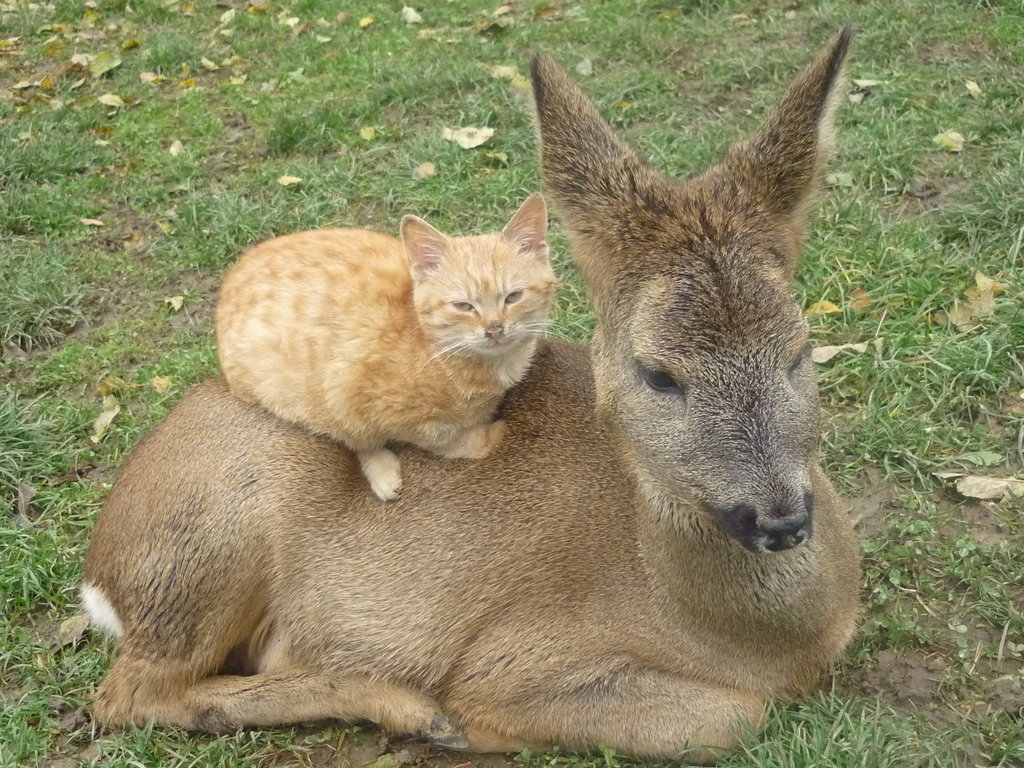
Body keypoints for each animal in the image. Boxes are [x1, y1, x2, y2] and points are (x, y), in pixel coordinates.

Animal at [81, 29, 861, 763]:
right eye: (658, 373)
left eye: (800, 348)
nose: (781, 520)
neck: (761, 646)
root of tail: (99, 576)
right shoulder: (518, 653)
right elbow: (728, 719)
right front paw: (473, 723)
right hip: (216, 527)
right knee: (126, 696)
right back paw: (415, 711)